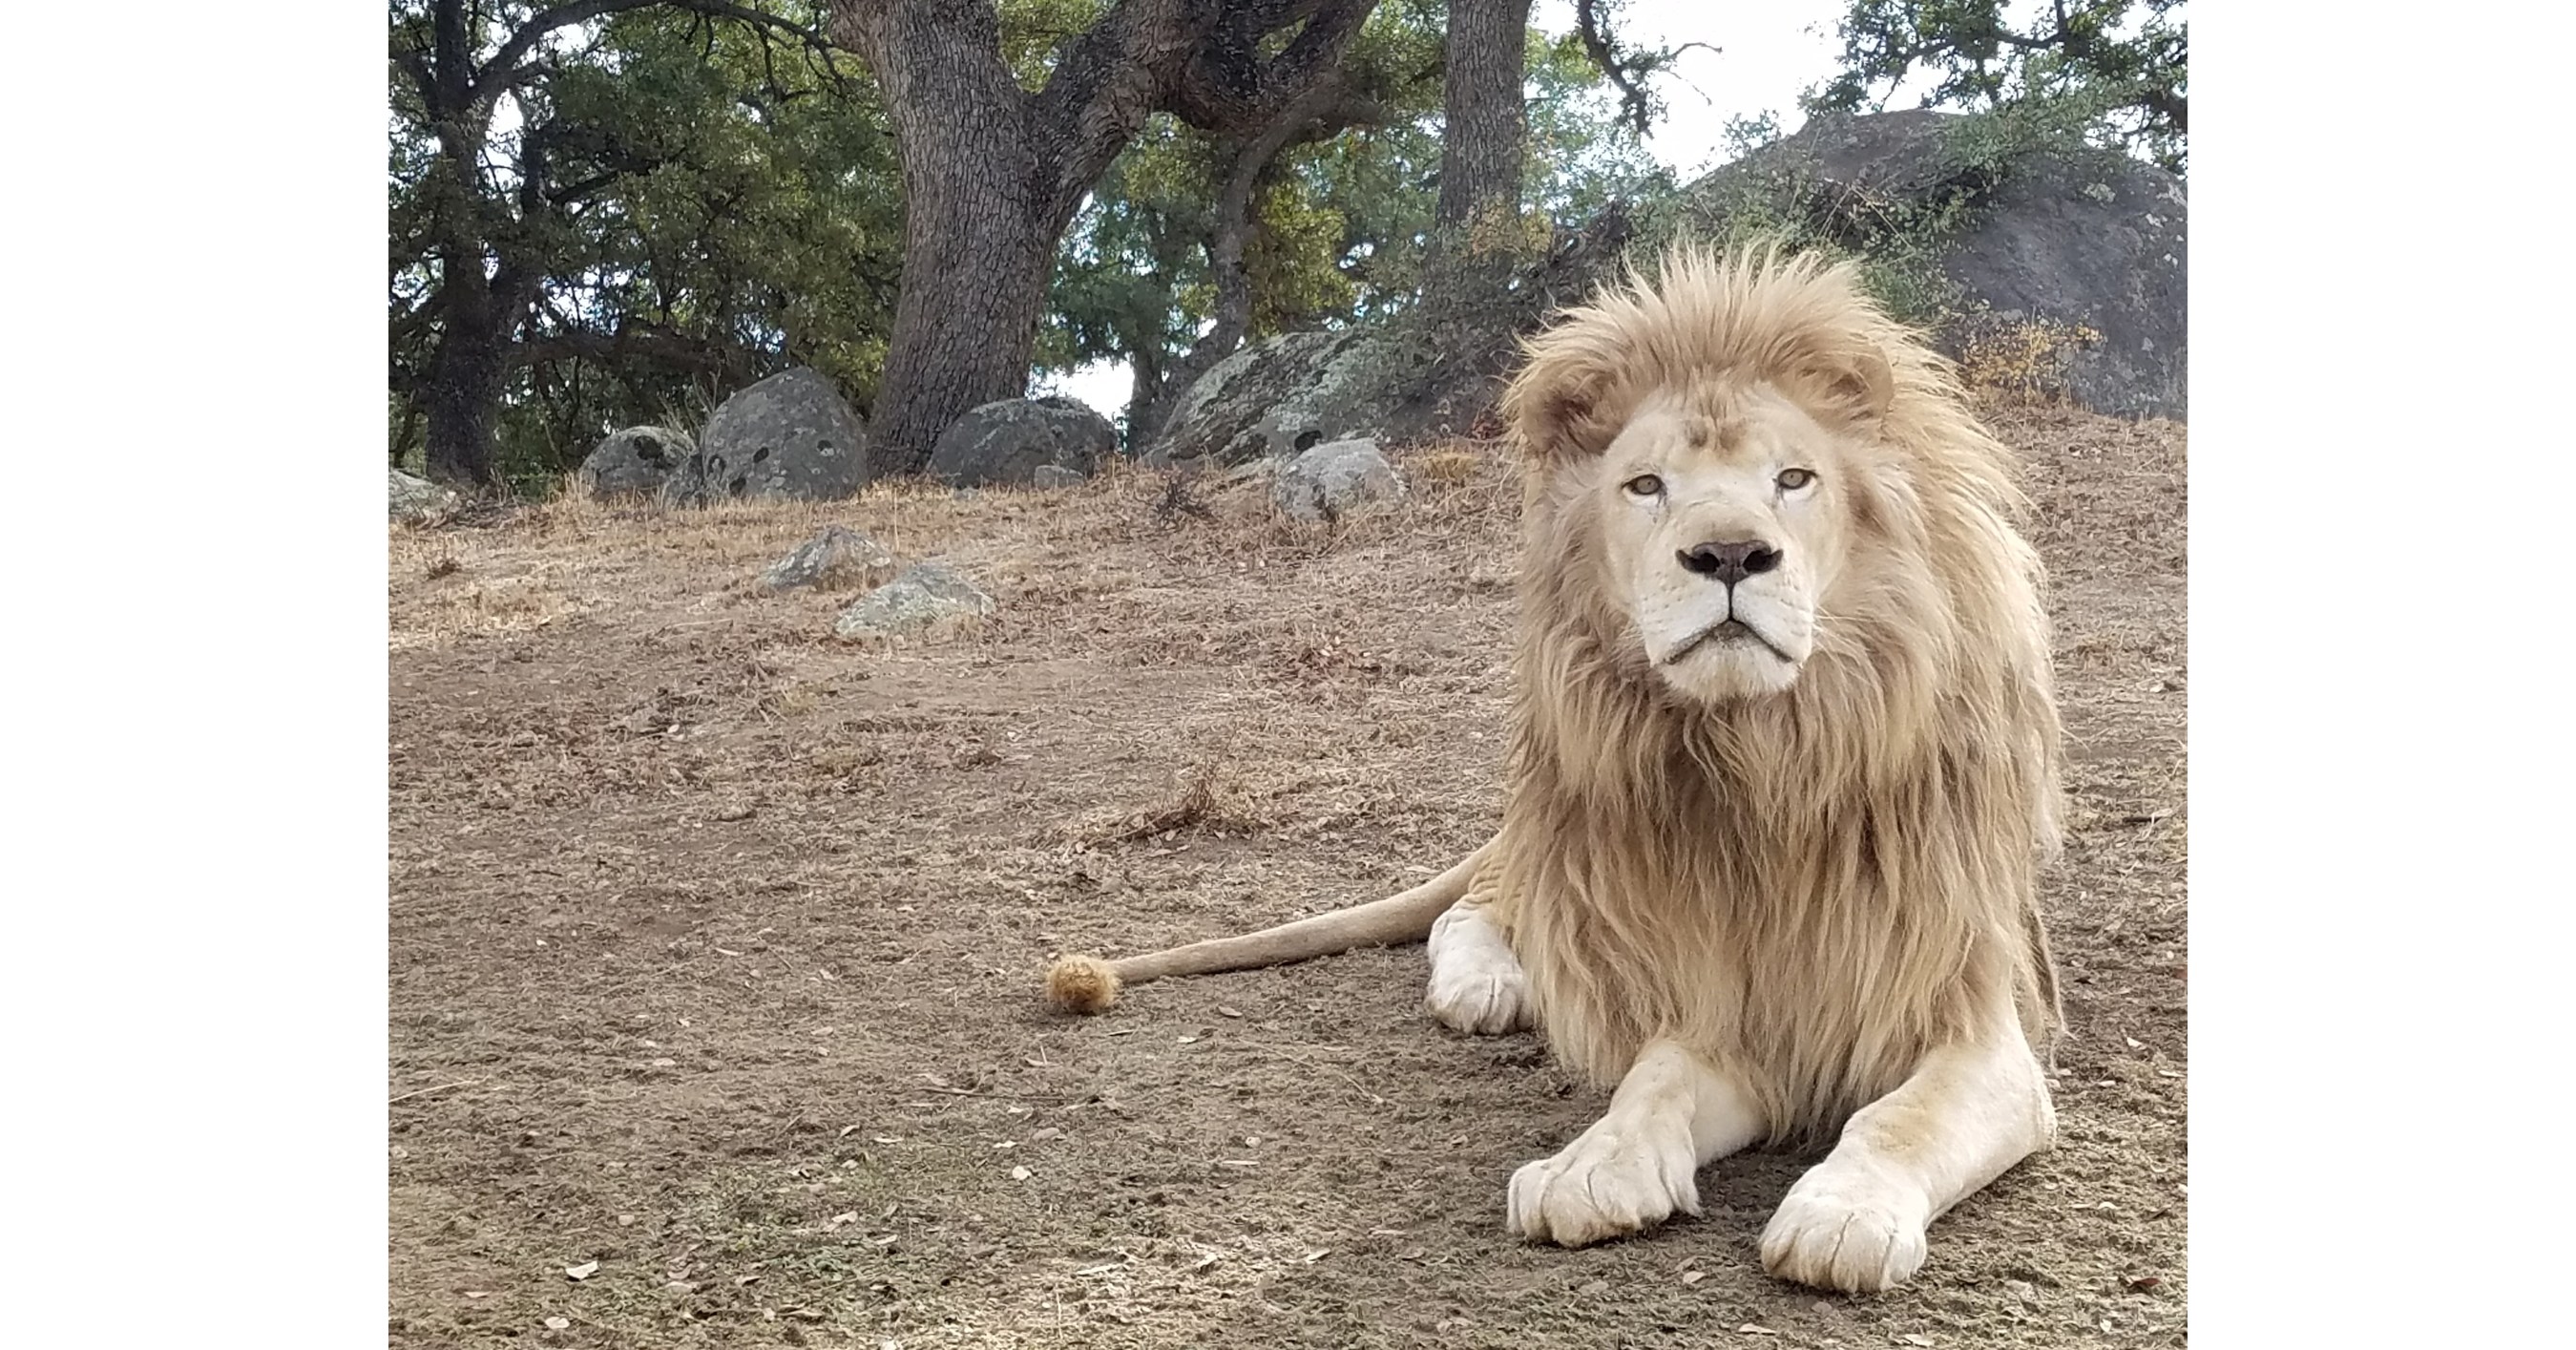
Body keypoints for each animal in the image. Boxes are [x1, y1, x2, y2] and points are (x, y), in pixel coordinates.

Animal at [1043, 245, 2065, 1293]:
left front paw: (1842, 1211)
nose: (1728, 552)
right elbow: (1652, 1081)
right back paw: (1489, 987)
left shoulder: (1978, 1026)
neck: (1761, 764)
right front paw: (1588, 1165)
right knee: (1472, 907)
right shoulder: (1716, 1004)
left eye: (1794, 478)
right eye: (1645, 486)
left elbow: (1898, 1117)